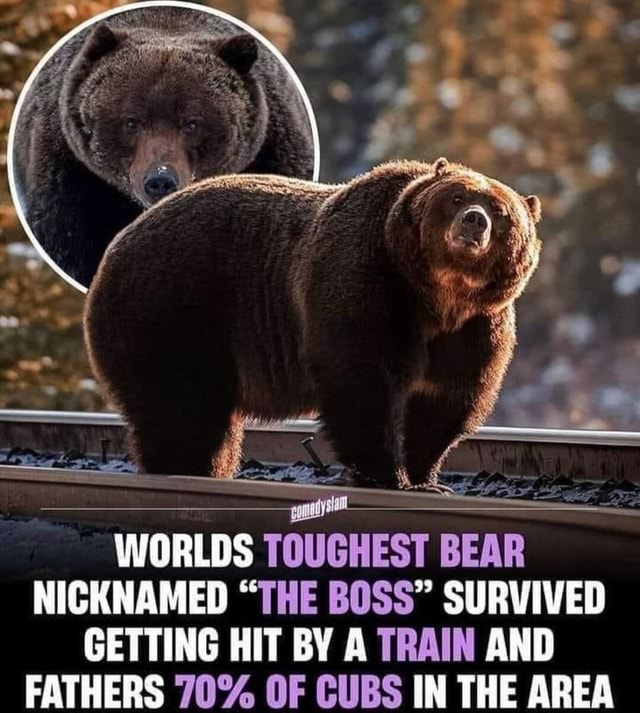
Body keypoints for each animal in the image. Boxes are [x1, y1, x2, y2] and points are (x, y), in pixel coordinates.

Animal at [12, 5, 315, 288]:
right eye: (131, 121)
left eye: (191, 123)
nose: (160, 180)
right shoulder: (74, 178)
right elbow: (68, 241)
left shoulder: (272, 155)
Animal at [84, 158, 542, 491]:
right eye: (457, 196)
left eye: (501, 211)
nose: (474, 221)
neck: (438, 296)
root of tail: (112, 249)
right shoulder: (364, 282)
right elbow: (361, 382)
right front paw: (385, 475)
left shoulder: (476, 328)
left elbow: (446, 399)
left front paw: (425, 478)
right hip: (171, 310)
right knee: (182, 407)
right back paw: (187, 468)